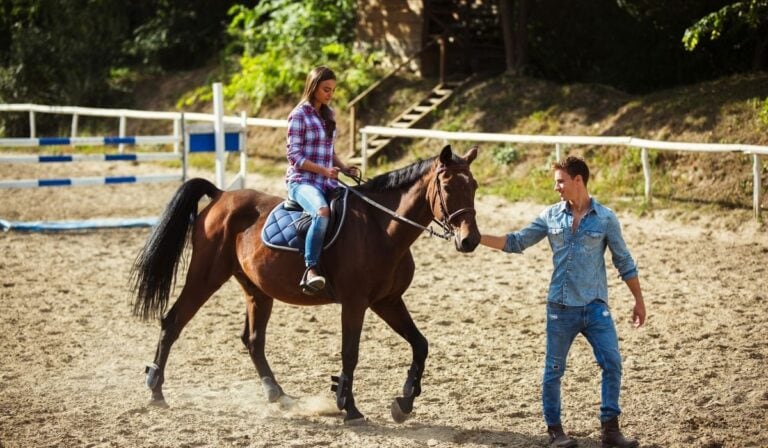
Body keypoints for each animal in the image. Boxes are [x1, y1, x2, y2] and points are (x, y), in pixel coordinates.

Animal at [131, 144, 480, 424]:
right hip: (205, 277)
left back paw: (278, 394)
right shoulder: (355, 303)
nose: (470, 240)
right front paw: (349, 406)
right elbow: (350, 353)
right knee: (173, 322)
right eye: (447, 186)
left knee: (253, 340)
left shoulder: (388, 301)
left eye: (474, 186)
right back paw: (156, 391)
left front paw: (404, 402)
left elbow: (420, 344)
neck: (381, 228)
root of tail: (220, 196)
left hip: (257, 290)